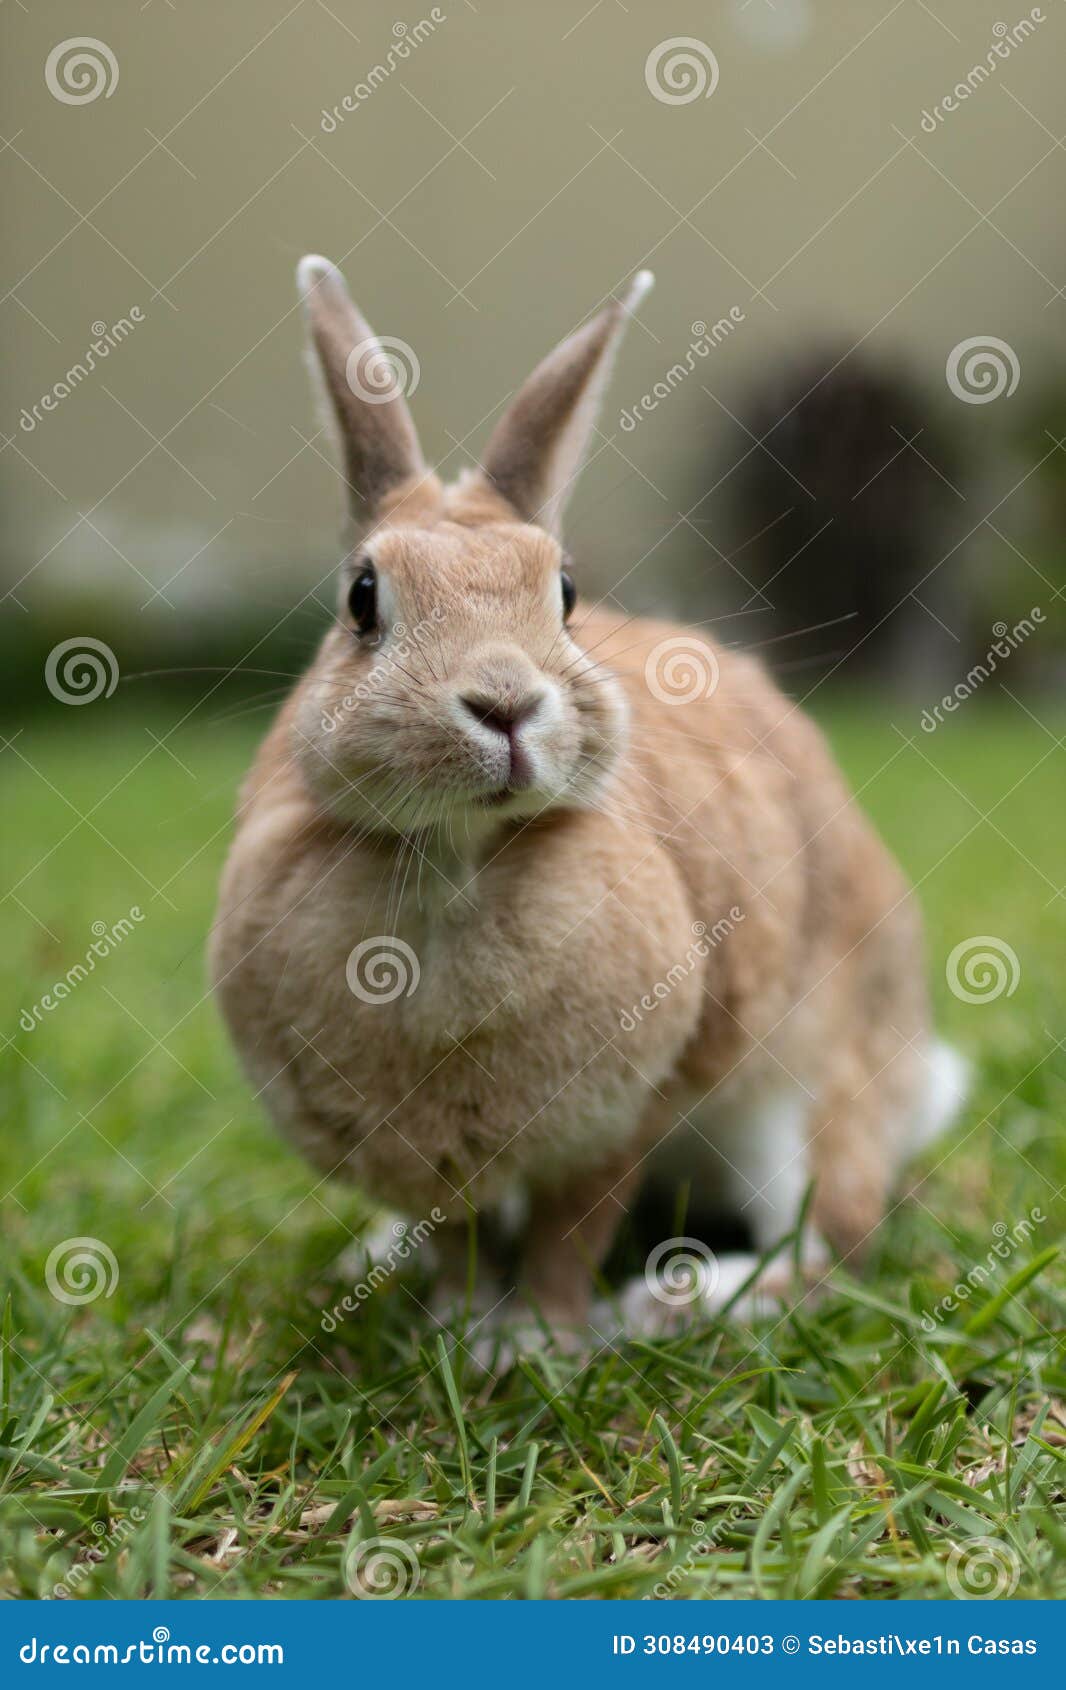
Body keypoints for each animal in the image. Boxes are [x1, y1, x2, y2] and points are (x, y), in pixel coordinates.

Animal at [209, 255, 968, 1345]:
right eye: (361, 598)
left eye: (563, 593)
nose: (506, 703)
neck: (457, 854)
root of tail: (912, 1081)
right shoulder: (443, 1162)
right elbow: (463, 1232)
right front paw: (456, 1323)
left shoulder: (625, 1115)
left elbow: (574, 1226)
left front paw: (534, 1341)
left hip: (802, 1096)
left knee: (834, 1241)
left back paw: (679, 1299)